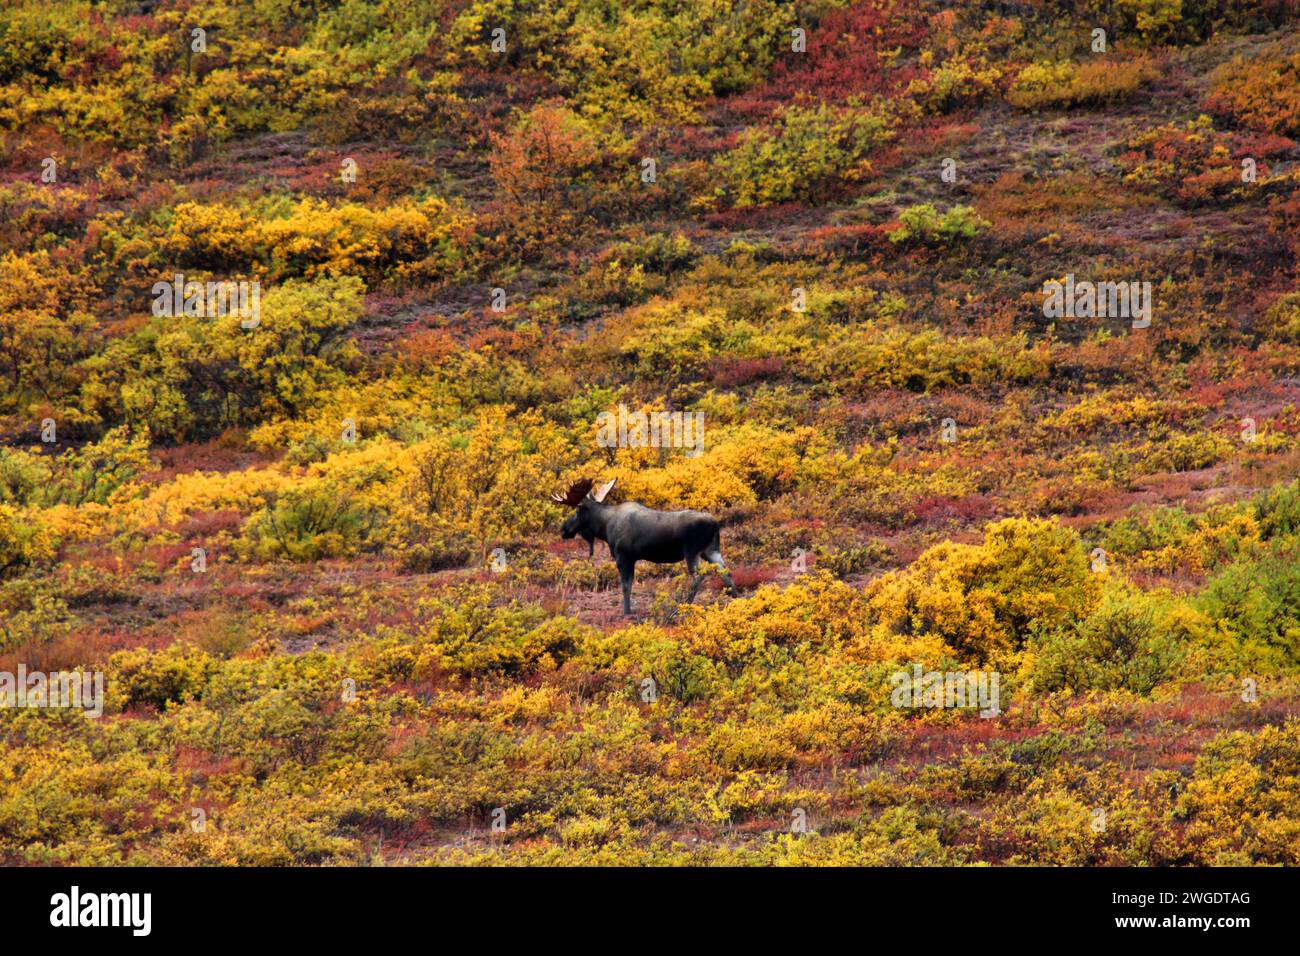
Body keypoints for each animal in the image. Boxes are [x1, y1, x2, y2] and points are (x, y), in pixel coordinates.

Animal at [551, 478, 739, 616]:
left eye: (577, 510)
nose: (564, 529)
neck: (605, 527)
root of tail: (715, 524)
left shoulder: (623, 556)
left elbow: (625, 585)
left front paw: (626, 612)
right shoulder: (632, 558)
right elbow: (630, 583)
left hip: (692, 551)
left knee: (699, 577)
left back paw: (681, 607)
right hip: (711, 550)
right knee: (726, 572)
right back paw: (737, 599)